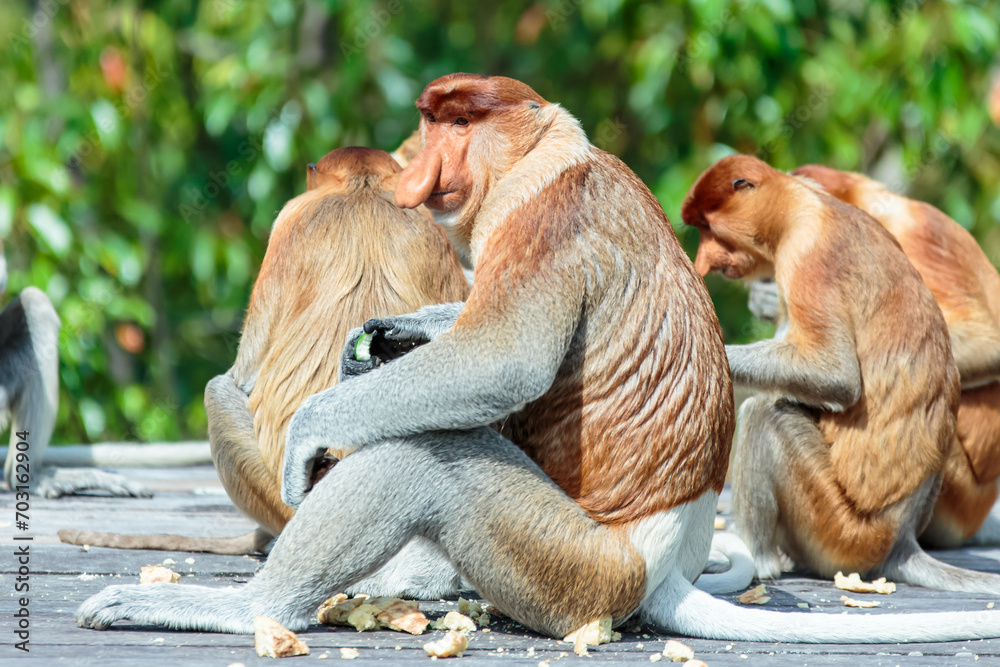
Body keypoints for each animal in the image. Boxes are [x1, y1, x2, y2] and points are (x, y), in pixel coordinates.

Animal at [682, 153, 1000, 599]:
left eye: (708, 228)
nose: (704, 262)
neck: (800, 202)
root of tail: (901, 541)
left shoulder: (806, 252)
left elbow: (836, 373)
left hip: (838, 530)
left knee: (766, 414)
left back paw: (759, 560)